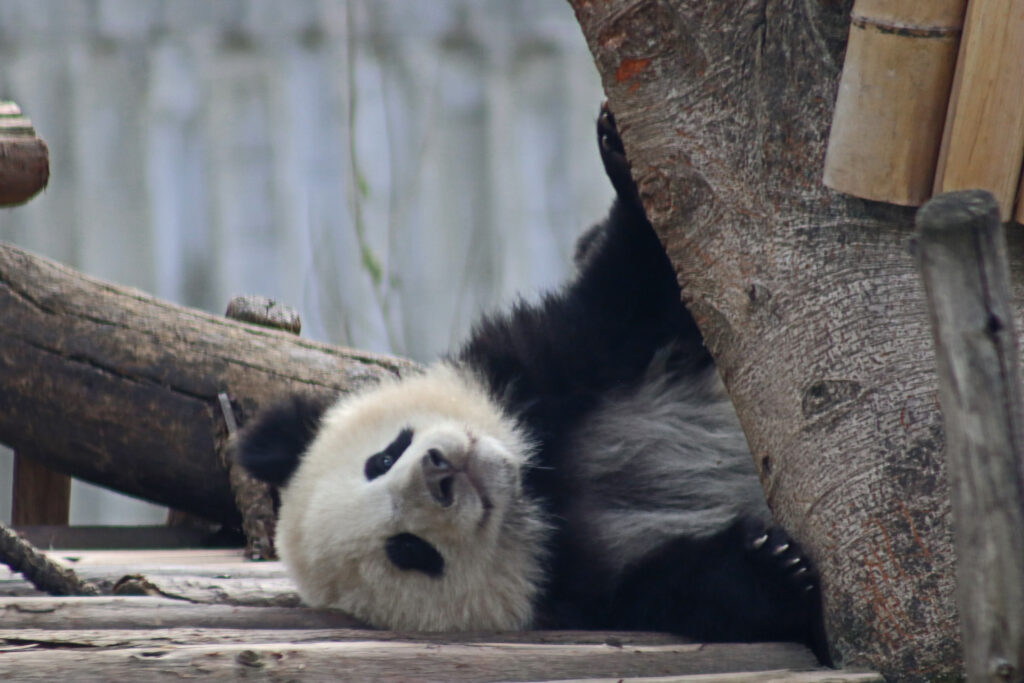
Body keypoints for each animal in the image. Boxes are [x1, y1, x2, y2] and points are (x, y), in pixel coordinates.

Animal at [236, 104, 826, 658]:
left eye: (381, 457)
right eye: (408, 551)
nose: (439, 471)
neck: (542, 486)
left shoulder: (543, 361)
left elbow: (633, 289)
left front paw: (620, 153)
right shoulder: (586, 591)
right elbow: (696, 591)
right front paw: (775, 563)